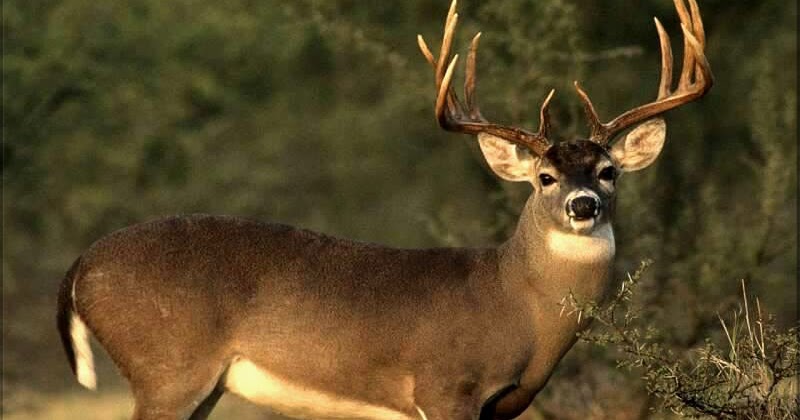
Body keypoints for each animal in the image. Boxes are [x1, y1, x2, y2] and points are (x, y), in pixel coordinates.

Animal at [56, 0, 711, 419]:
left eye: (608, 171)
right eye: (544, 177)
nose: (582, 205)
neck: (515, 303)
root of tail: (80, 269)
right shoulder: (445, 387)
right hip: (167, 367)